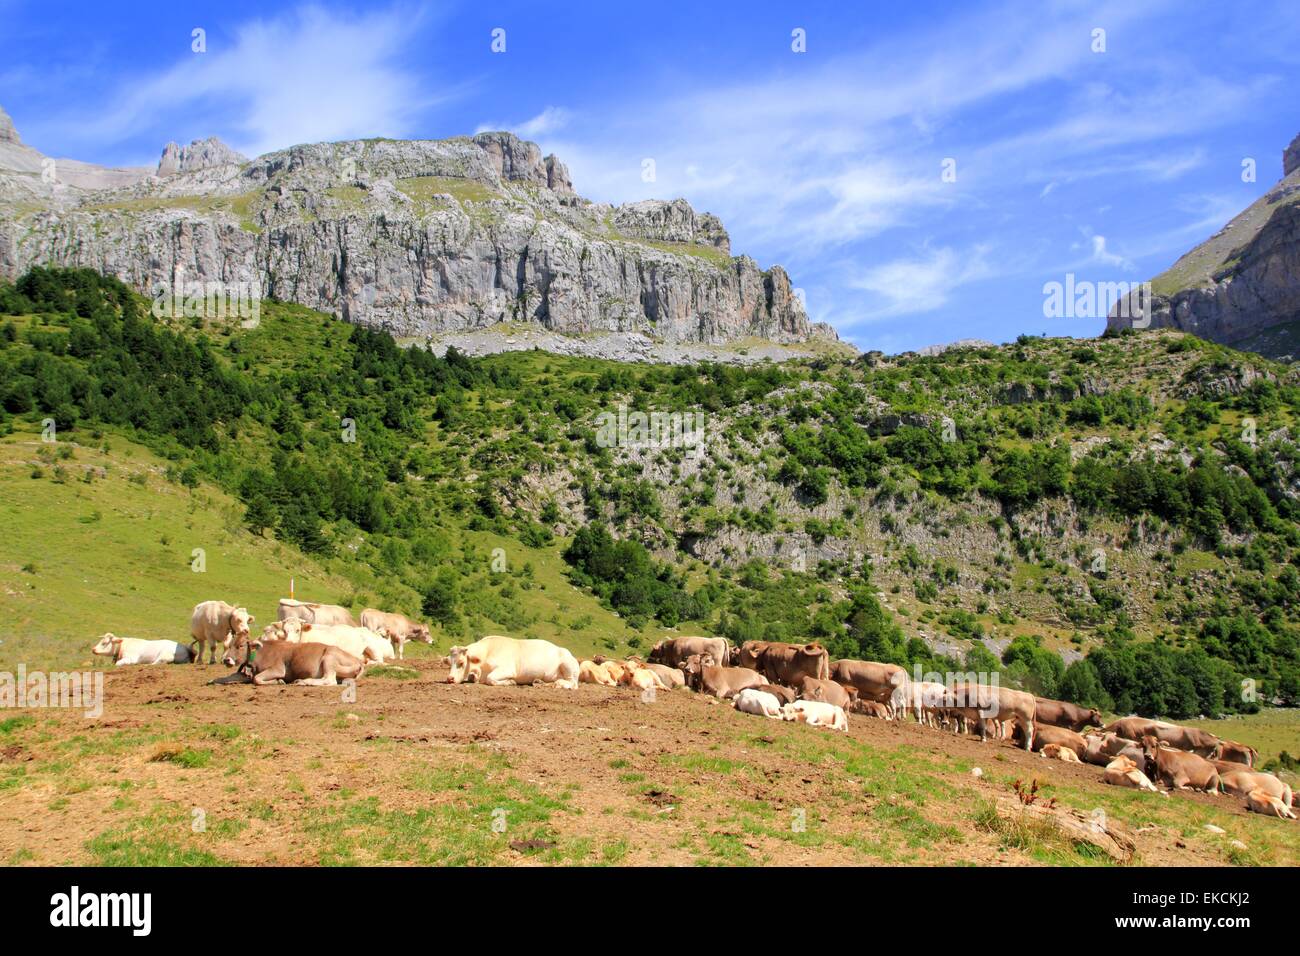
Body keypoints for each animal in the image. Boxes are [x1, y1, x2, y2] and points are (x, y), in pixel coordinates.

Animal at [447, 636, 579, 689]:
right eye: (450, 662)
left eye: (461, 663)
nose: (449, 679)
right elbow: (472, 677)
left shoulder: (508, 669)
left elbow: (490, 678)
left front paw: (510, 682)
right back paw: (539, 682)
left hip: (568, 665)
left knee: (572, 683)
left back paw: (559, 684)